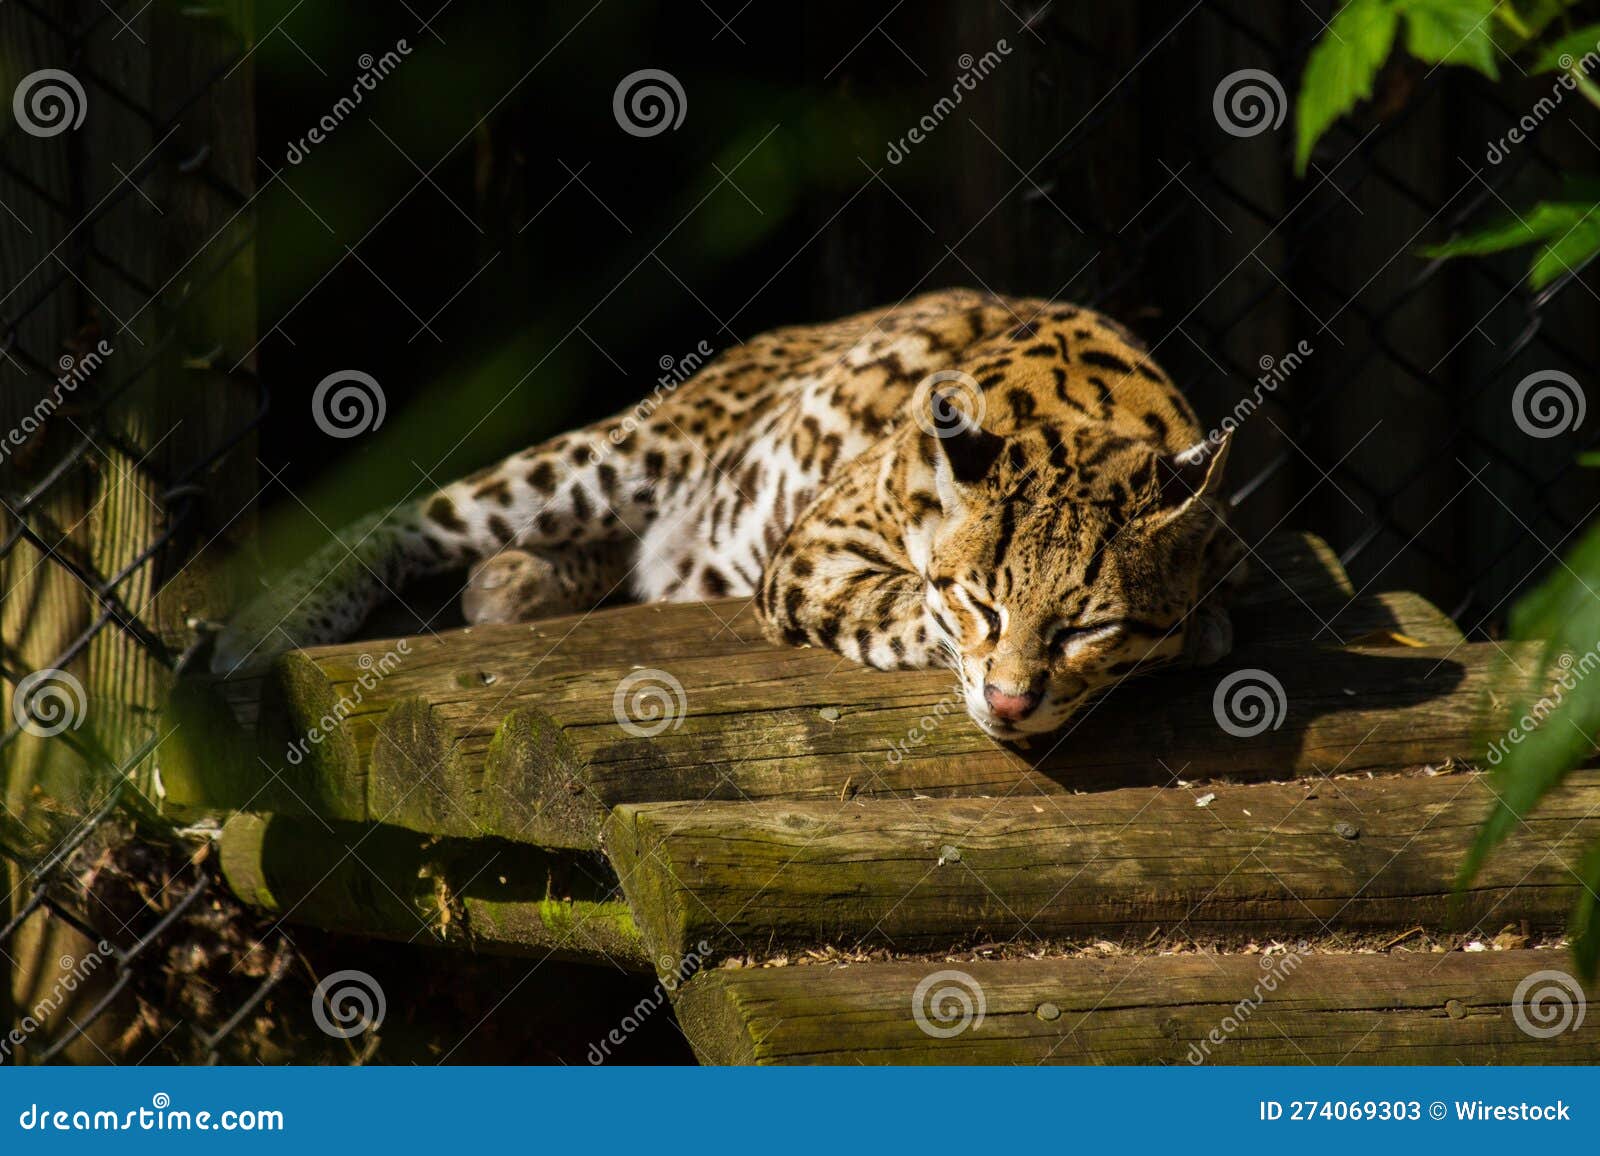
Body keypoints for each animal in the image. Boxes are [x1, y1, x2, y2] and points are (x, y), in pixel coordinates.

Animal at [212, 288, 1242, 738]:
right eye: (981, 603)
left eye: (1090, 626)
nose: (1010, 702)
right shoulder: (815, 546)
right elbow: (900, 604)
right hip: (625, 452)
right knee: (400, 516)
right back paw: (254, 631)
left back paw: (515, 586)